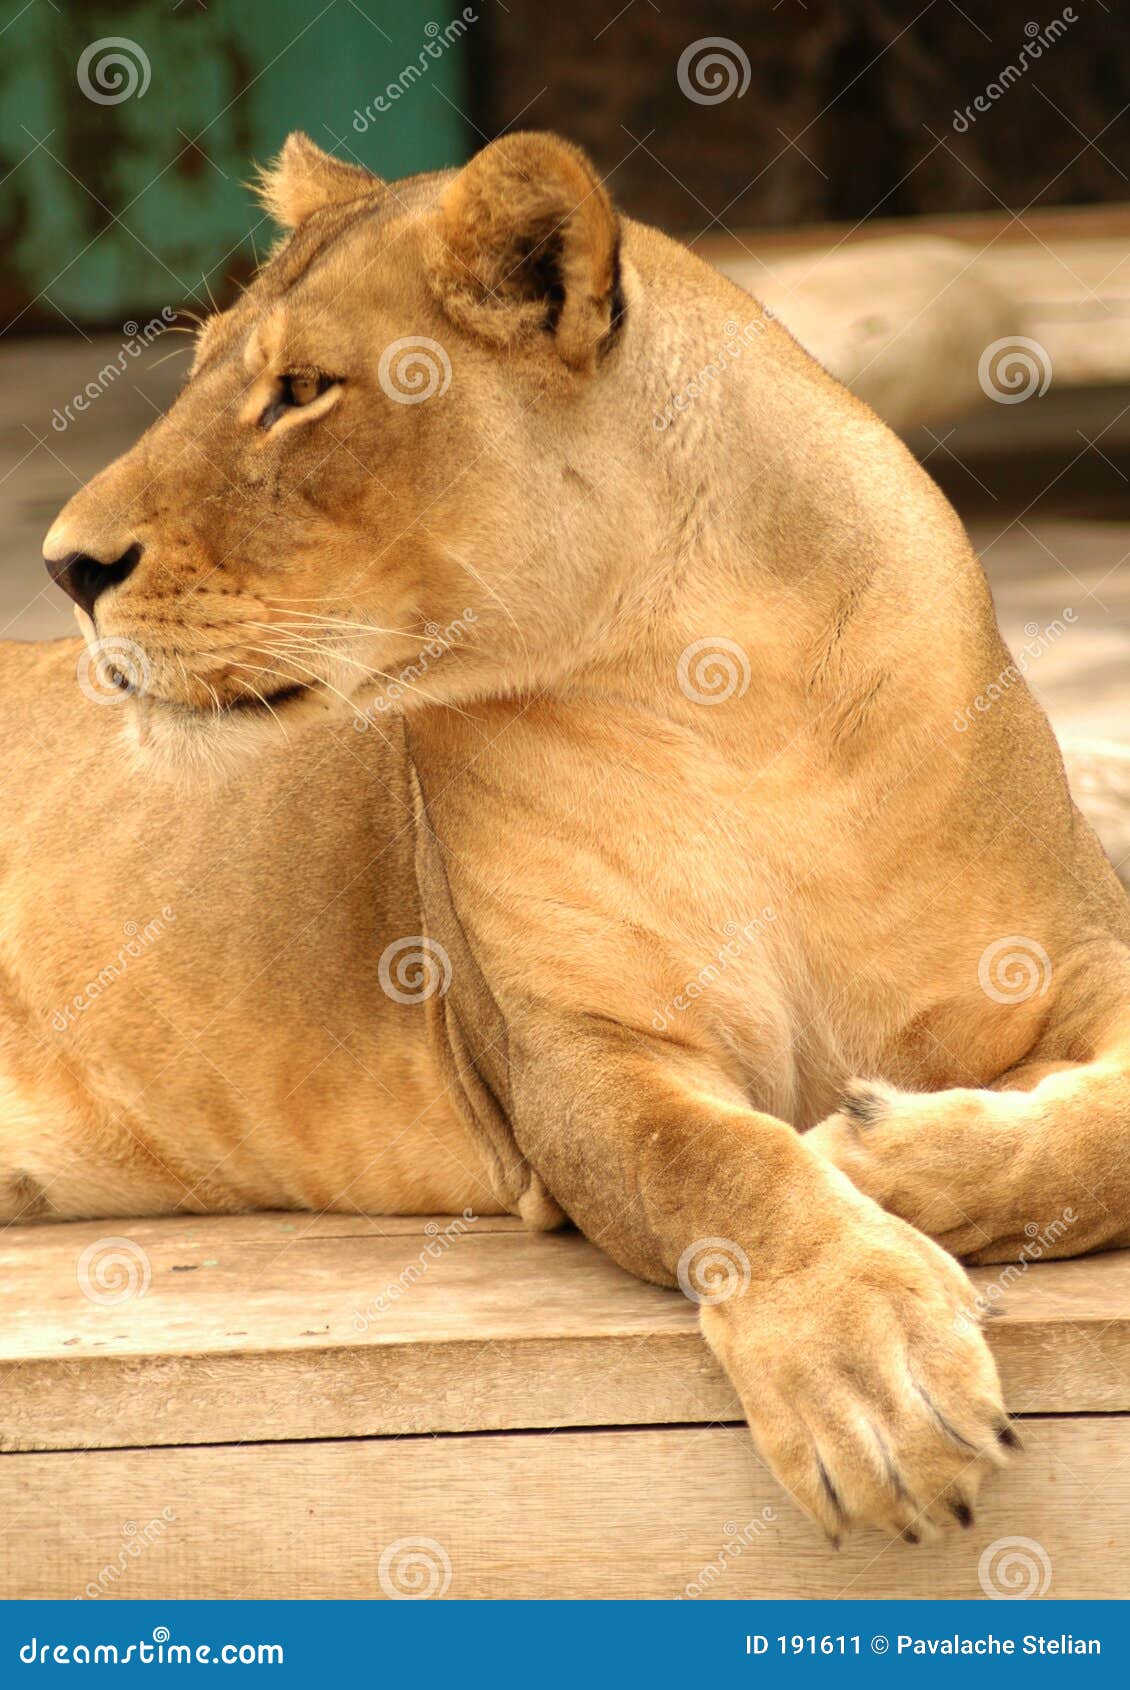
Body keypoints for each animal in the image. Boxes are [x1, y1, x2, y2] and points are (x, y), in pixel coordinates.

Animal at [7, 131, 1130, 1546]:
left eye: (302, 392)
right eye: (201, 375)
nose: (64, 567)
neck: (721, 700)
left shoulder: (1071, 948)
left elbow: (1104, 1134)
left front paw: (898, 1157)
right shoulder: (569, 1058)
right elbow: (719, 1162)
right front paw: (870, 1367)